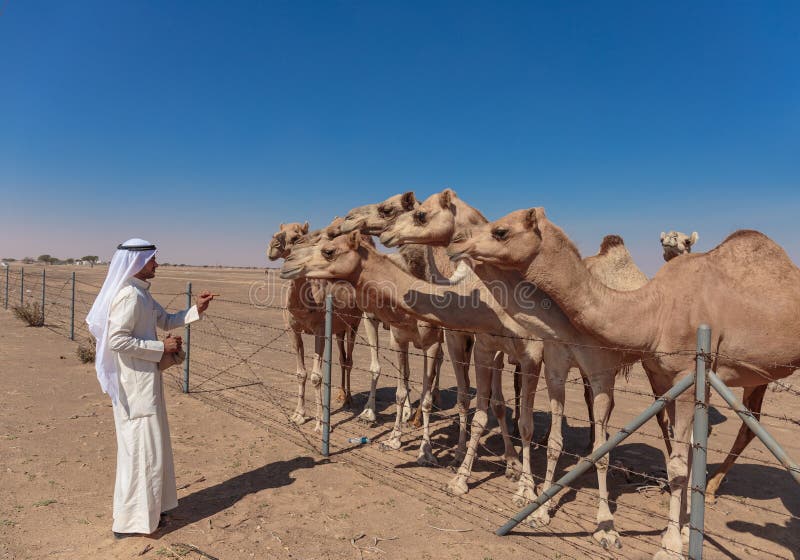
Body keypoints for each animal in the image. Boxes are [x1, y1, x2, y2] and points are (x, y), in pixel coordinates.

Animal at [380, 189, 663, 548]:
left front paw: (527, 488)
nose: (387, 234)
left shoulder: (532, 357)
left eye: (420, 214)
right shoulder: (486, 348)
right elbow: (484, 411)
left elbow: (527, 423)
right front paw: (464, 475)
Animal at [452, 208, 800, 559]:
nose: (457, 245)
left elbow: (673, 464)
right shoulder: (657, 374)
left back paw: (712, 492)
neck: (655, 309)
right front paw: (540, 511)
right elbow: (675, 453)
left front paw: (666, 542)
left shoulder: (686, 376)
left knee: (745, 425)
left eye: (500, 231)